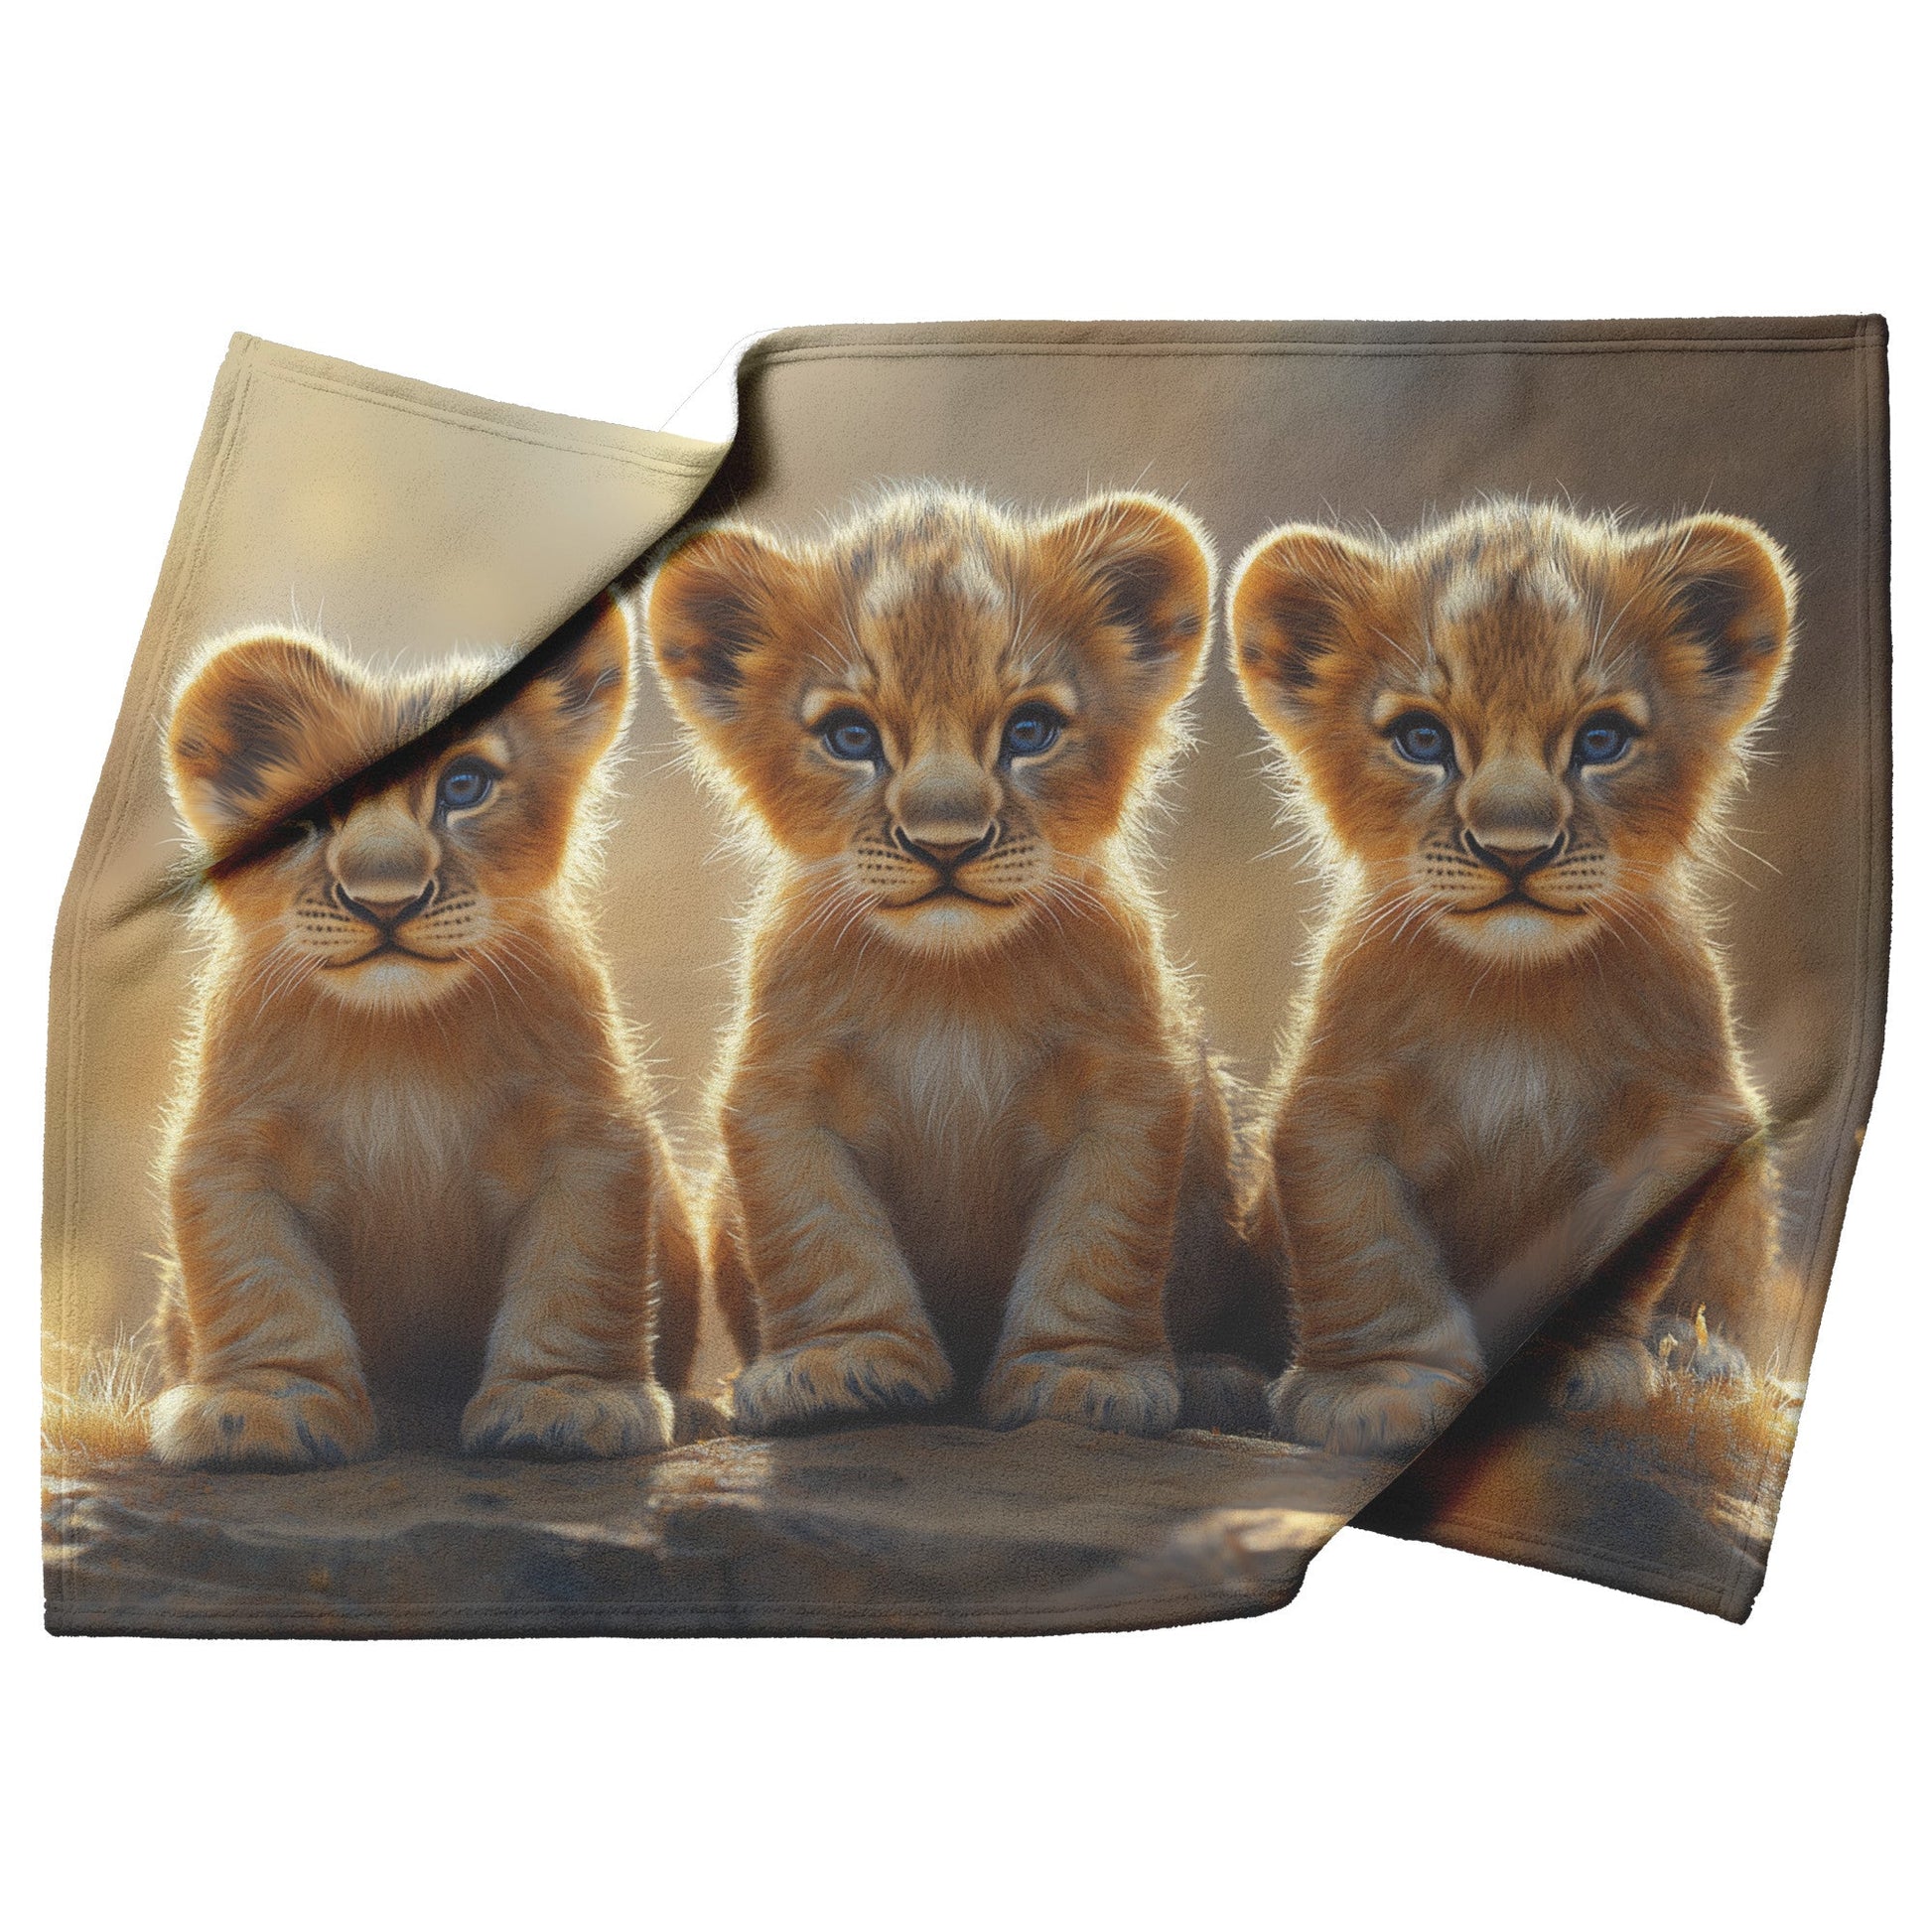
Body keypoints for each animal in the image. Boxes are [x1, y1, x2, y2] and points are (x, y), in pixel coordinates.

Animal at [149, 594, 697, 1469]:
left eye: (465, 786)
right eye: (312, 812)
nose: (387, 899)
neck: (400, 1039)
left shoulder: (586, 1133)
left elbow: (578, 1273)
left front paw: (567, 1401)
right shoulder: (232, 1146)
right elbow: (259, 1283)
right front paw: (260, 1406)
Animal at [641, 486, 1276, 1437]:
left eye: (1031, 729)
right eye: (850, 737)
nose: (946, 843)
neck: (951, 982)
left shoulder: (1129, 1084)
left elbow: (1097, 1243)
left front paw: (1081, 1376)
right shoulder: (781, 1088)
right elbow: (820, 1235)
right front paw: (840, 1364)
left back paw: (1215, 1378)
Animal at [1228, 498, 1796, 1456]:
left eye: (1602, 739)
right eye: (1422, 738)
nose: (1515, 850)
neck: (1514, 996)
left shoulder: (1687, 1114)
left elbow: (1617, 1259)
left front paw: (1581, 1365)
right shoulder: (1336, 1107)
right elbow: (1369, 1251)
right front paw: (1379, 1388)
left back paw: (1700, 1356)